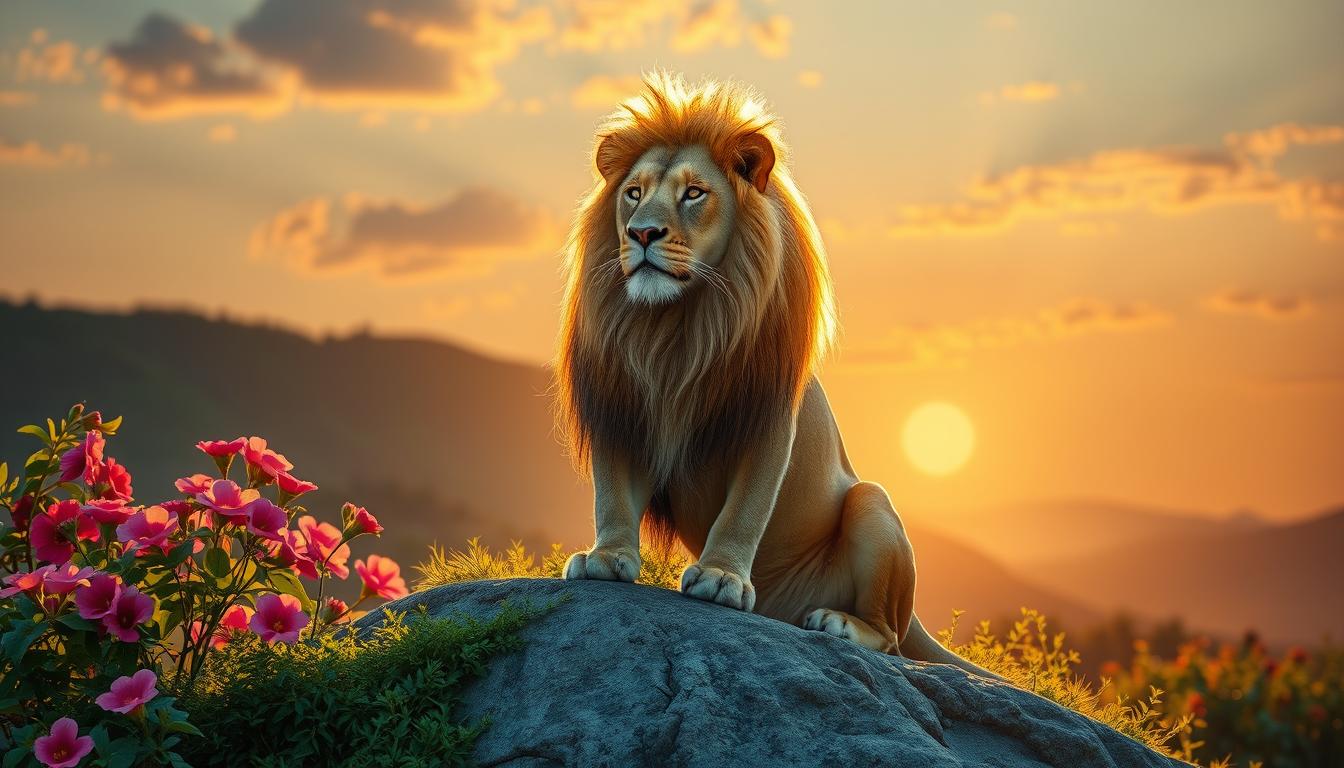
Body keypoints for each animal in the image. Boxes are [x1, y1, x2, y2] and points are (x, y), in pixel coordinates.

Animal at [555, 73, 998, 680]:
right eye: (634, 194)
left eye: (694, 193)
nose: (642, 233)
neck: (673, 330)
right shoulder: (620, 408)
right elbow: (613, 495)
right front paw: (606, 557)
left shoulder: (766, 416)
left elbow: (746, 506)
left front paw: (720, 578)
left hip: (873, 505)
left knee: (889, 637)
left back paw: (839, 623)